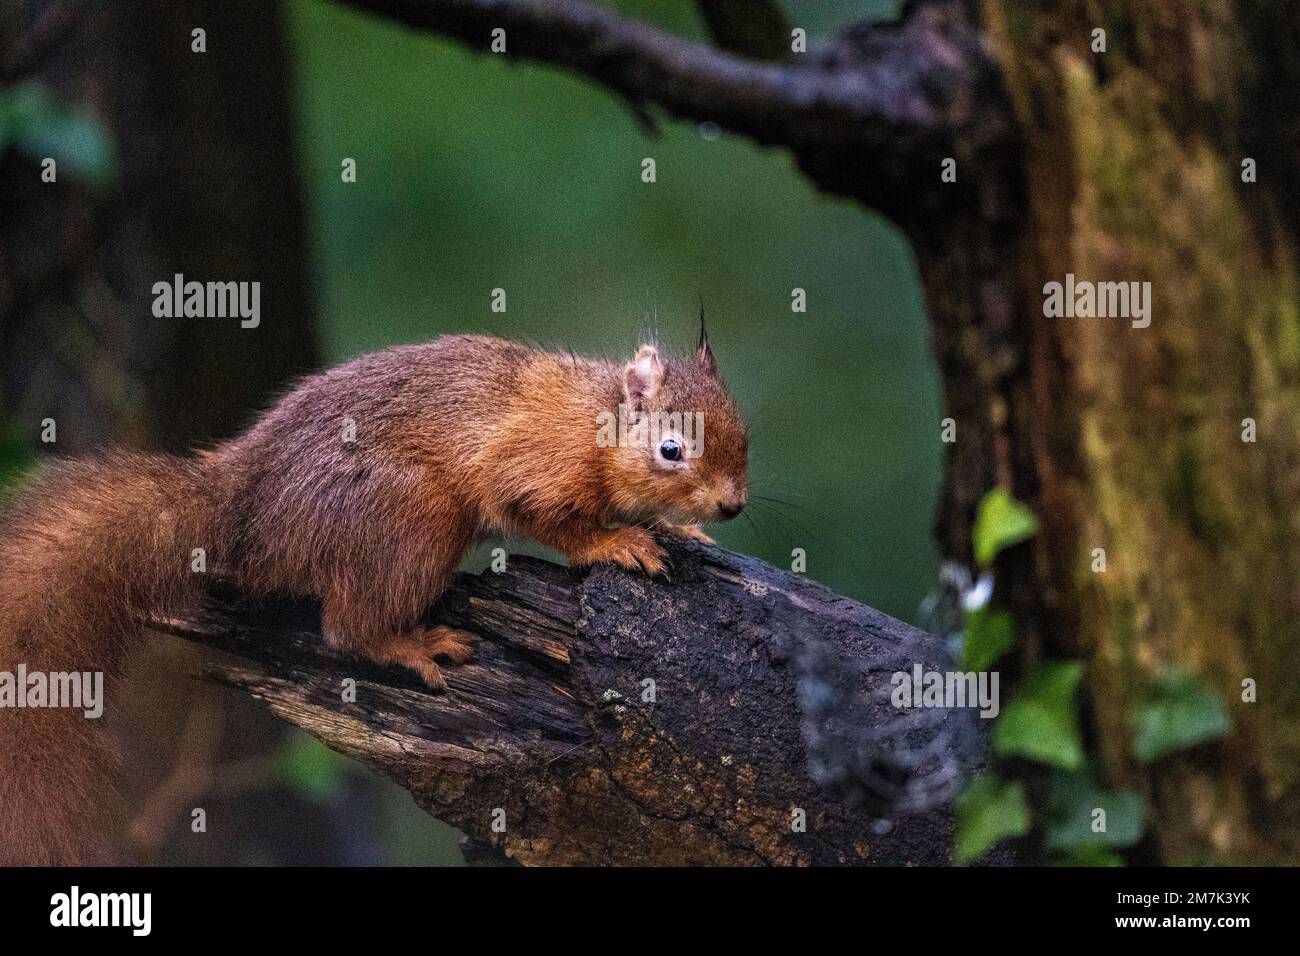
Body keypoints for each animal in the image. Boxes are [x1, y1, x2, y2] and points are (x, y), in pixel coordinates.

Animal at [0, 330, 749, 865]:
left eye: (744, 433)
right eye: (673, 450)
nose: (734, 506)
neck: (595, 422)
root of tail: (242, 510)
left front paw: (682, 530)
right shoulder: (534, 467)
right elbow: (550, 518)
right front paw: (617, 542)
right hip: (411, 517)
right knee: (346, 625)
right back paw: (412, 646)